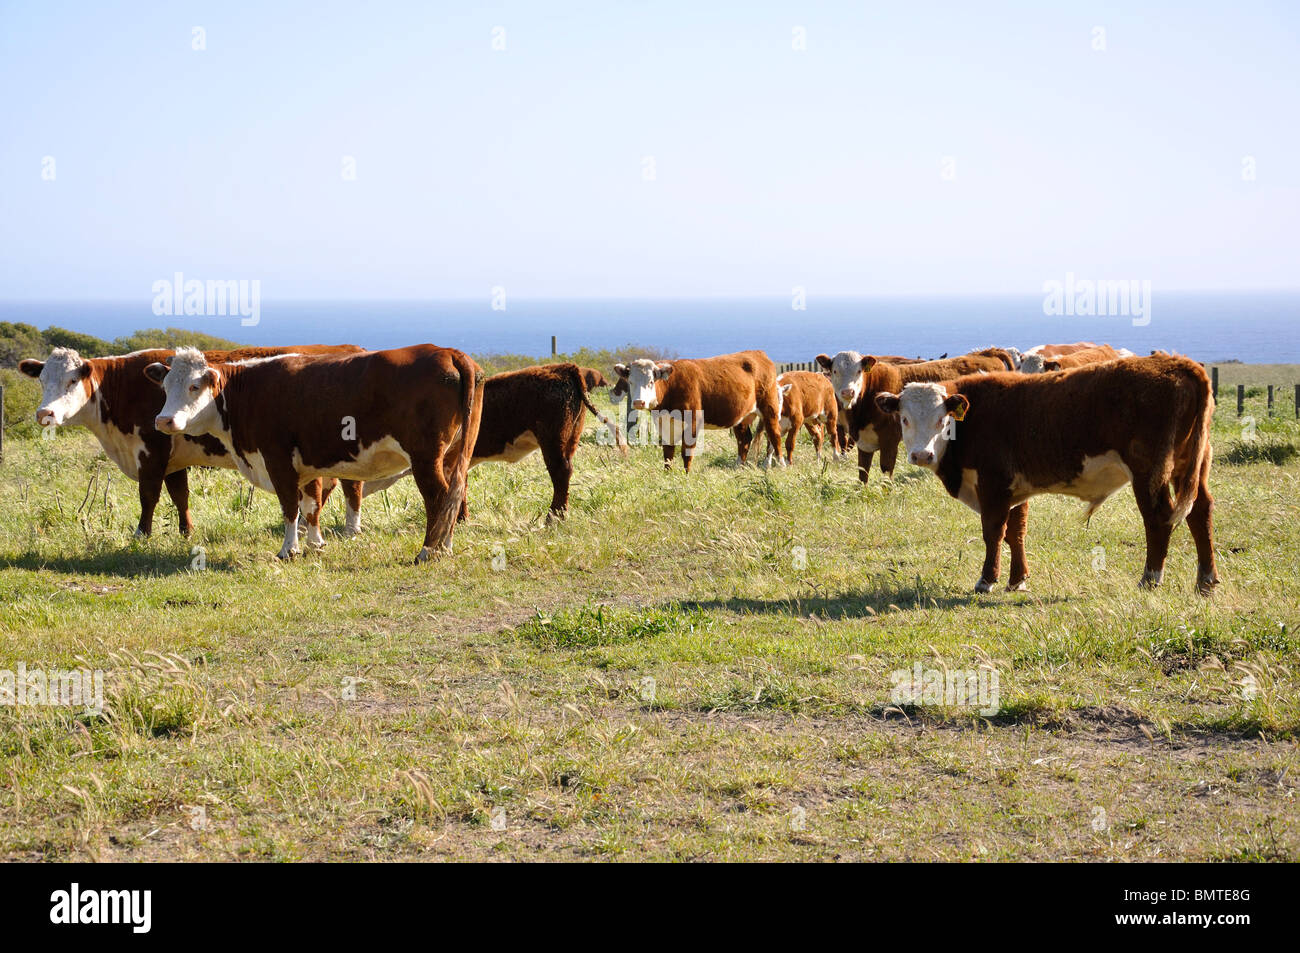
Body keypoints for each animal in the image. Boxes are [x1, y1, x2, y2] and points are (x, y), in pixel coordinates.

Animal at [18, 344, 362, 538]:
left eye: (72, 380)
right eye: (43, 380)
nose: (44, 413)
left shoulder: (152, 450)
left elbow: (148, 496)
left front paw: (141, 534)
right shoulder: (173, 459)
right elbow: (179, 496)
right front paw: (186, 532)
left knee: (348, 485)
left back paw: (348, 529)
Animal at [146, 345, 482, 563]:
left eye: (194, 386)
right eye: (165, 385)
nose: (163, 421)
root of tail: (447, 351)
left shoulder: (277, 459)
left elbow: (289, 507)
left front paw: (288, 550)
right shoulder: (306, 464)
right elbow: (311, 505)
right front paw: (316, 544)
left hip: (426, 458)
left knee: (438, 497)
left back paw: (428, 551)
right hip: (453, 455)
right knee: (454, 494)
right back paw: (445, 546)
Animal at [613, 351, 782, 472]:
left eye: (650, 382)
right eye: (630, 382)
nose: (638, 402)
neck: (671, 387)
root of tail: (758, 353)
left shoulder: (694, 421)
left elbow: (686, 452)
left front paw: (686, 476)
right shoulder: (664, 423)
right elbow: (668, 453)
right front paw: (667, 474)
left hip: (770, 408)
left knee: (775, 436)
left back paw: (781, 466)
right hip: (742, 416)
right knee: (744, 439)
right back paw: (738, 467)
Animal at [815, 350, 1010, 483]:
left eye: (859, 371)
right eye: (835, 371)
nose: (848, 392)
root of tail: (987, 353)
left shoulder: (889, 441)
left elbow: (886, 470)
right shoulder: (864, 442)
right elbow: (863, 473)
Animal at [874, 355, 1218, 594]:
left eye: (942, 420)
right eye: (904, 419)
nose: (922, 455)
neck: (972, 421)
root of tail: (1178, 363)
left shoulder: (993, 484)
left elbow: (993, 531)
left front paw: (987, 580)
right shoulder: (1014, 488)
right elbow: (1016, 532)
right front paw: (1017, 580)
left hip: (1149, 472)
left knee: (1158, 517)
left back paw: (1150, 578)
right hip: (1189, 465)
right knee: (1199, 511)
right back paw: (1206, 579)